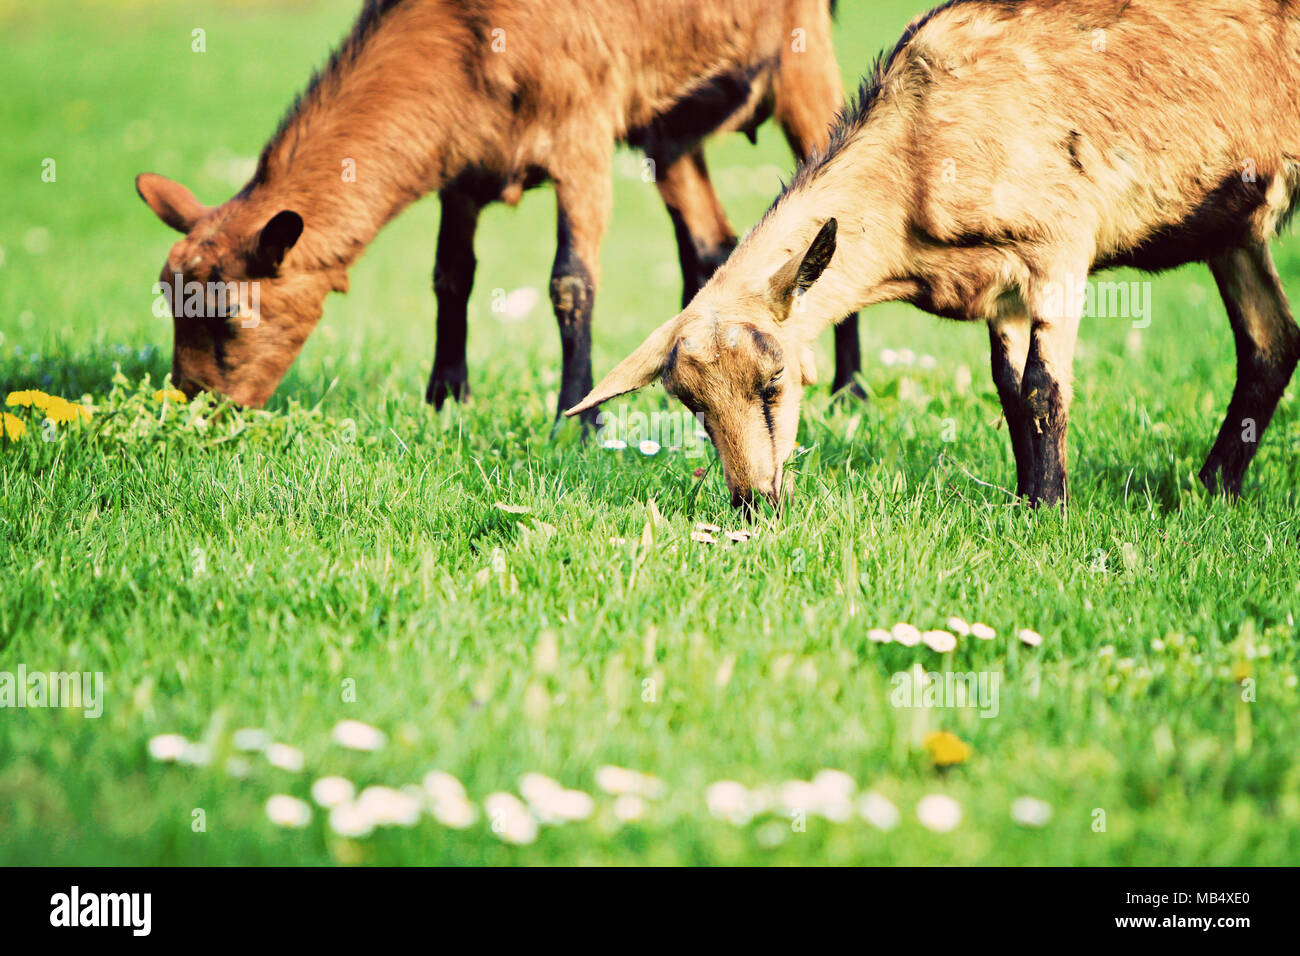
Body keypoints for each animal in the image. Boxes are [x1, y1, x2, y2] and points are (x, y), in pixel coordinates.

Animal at [135, 0, 864, 417]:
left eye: (231, 316)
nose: (196, 406)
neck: (472, 33)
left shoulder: (582, 135)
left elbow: (571, 282)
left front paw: (578, 419)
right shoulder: (462, 166)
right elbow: (450, 278)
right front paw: (443, 400)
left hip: (805, 58)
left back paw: (849, 391)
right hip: (669, 126)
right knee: (708, 242)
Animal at [569, 0, 1300, 507]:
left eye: (775, 384)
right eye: (693, 407)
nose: (755, 506)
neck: (916, 156)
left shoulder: (1060, 244)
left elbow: (1044, 388)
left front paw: (1050, 511)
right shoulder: (1000, 285)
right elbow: (1009, 389)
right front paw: (1023, 502)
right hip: (1233, 226)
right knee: (1272, 339)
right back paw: (1211, 492)